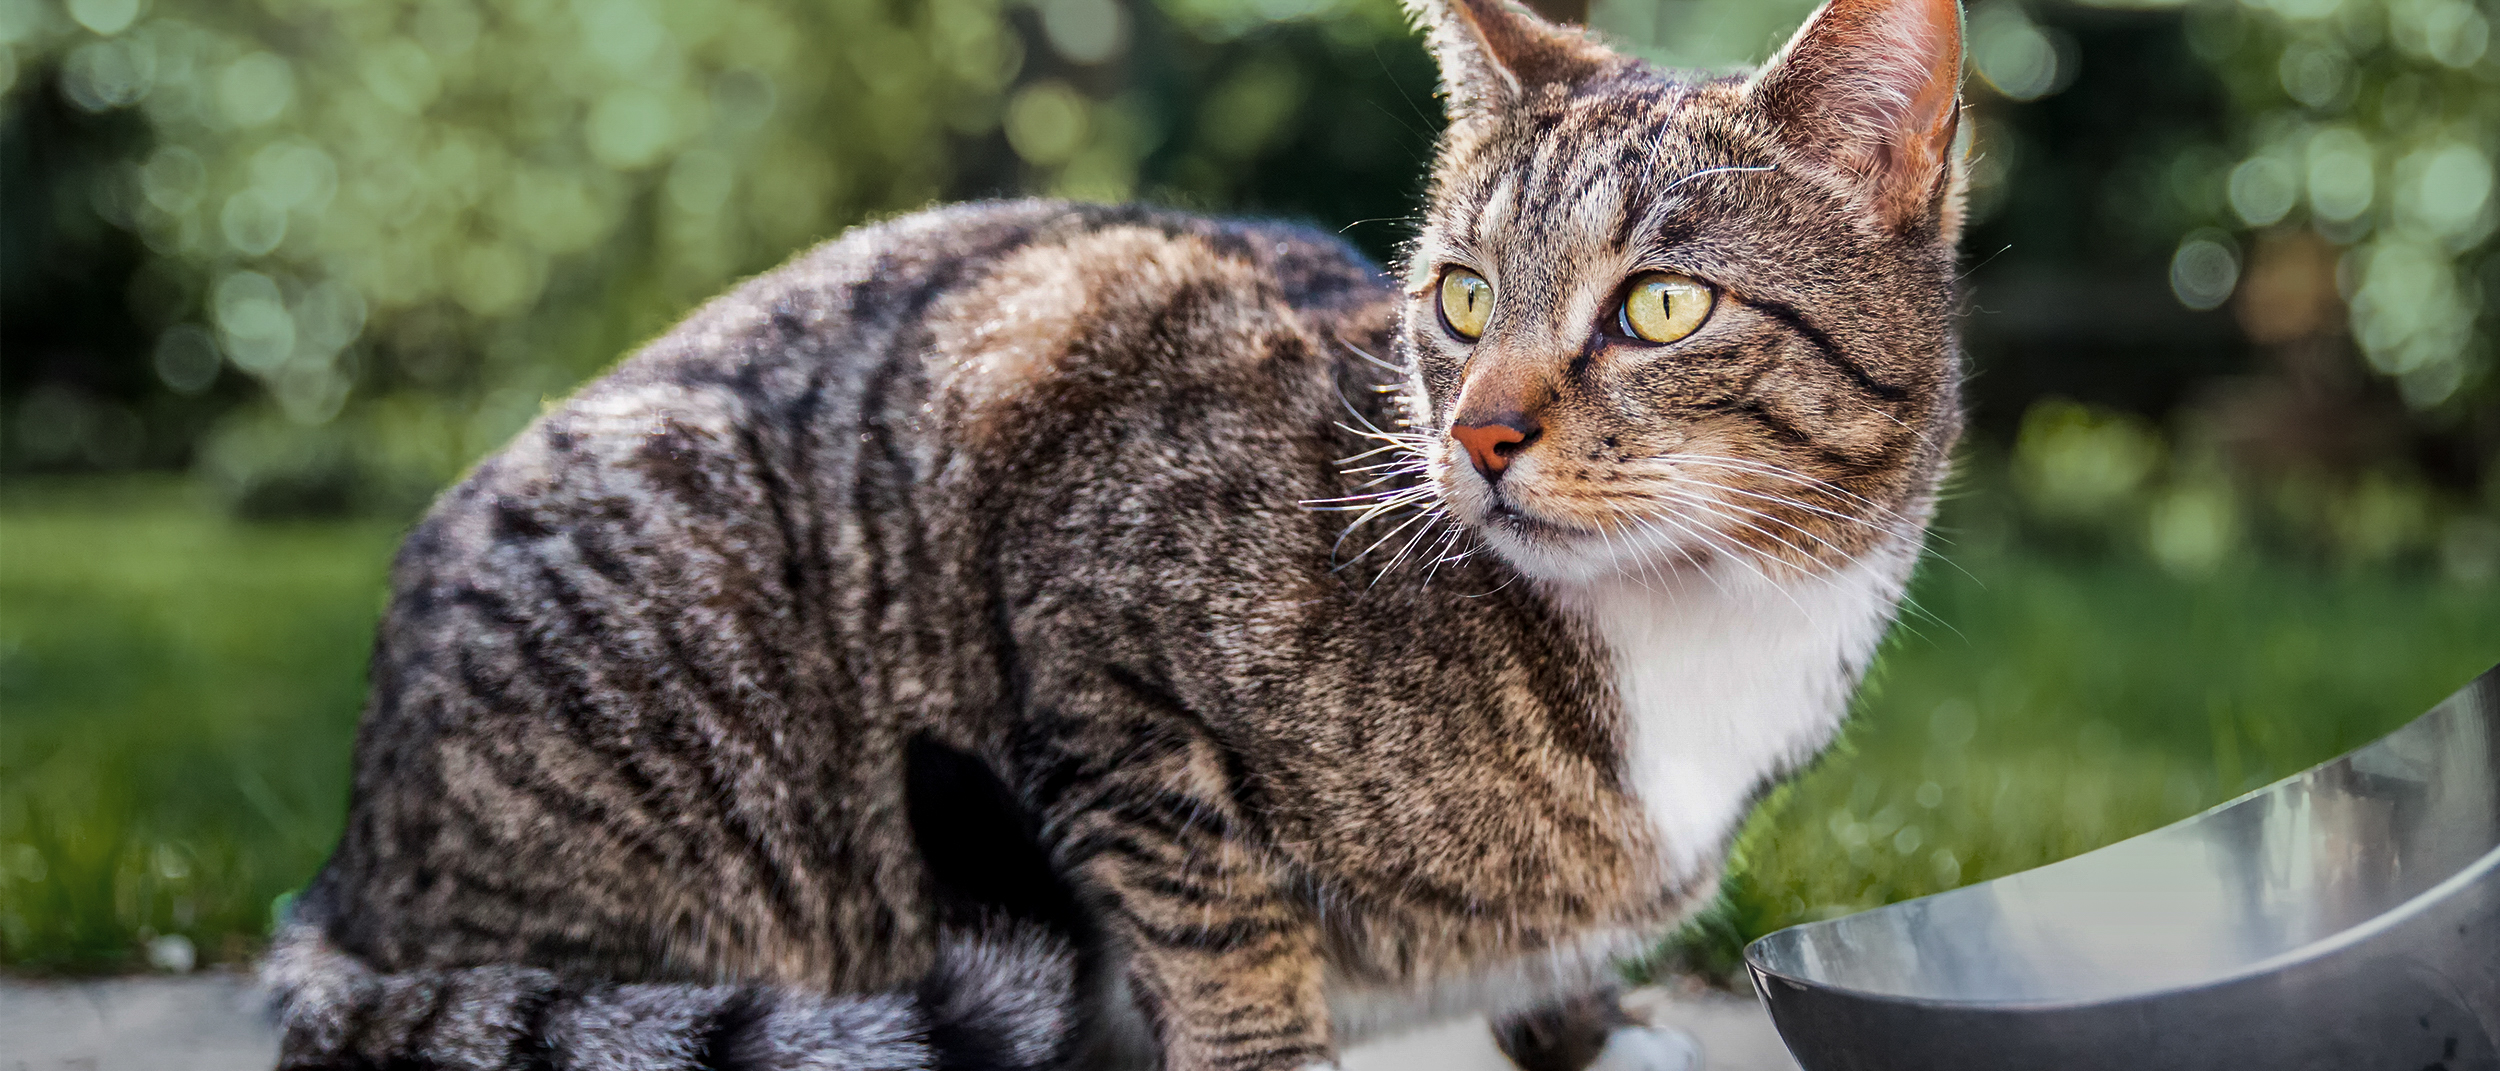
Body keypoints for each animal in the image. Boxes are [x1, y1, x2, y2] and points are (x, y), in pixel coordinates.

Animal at [258, 0, 1970, 1065]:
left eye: (1661, 305)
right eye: (1464, 299)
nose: (1476, 433)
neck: (1697, 625)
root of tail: (337, 875)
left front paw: (1586, 1024)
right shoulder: (1095, 646)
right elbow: (1227, 948)